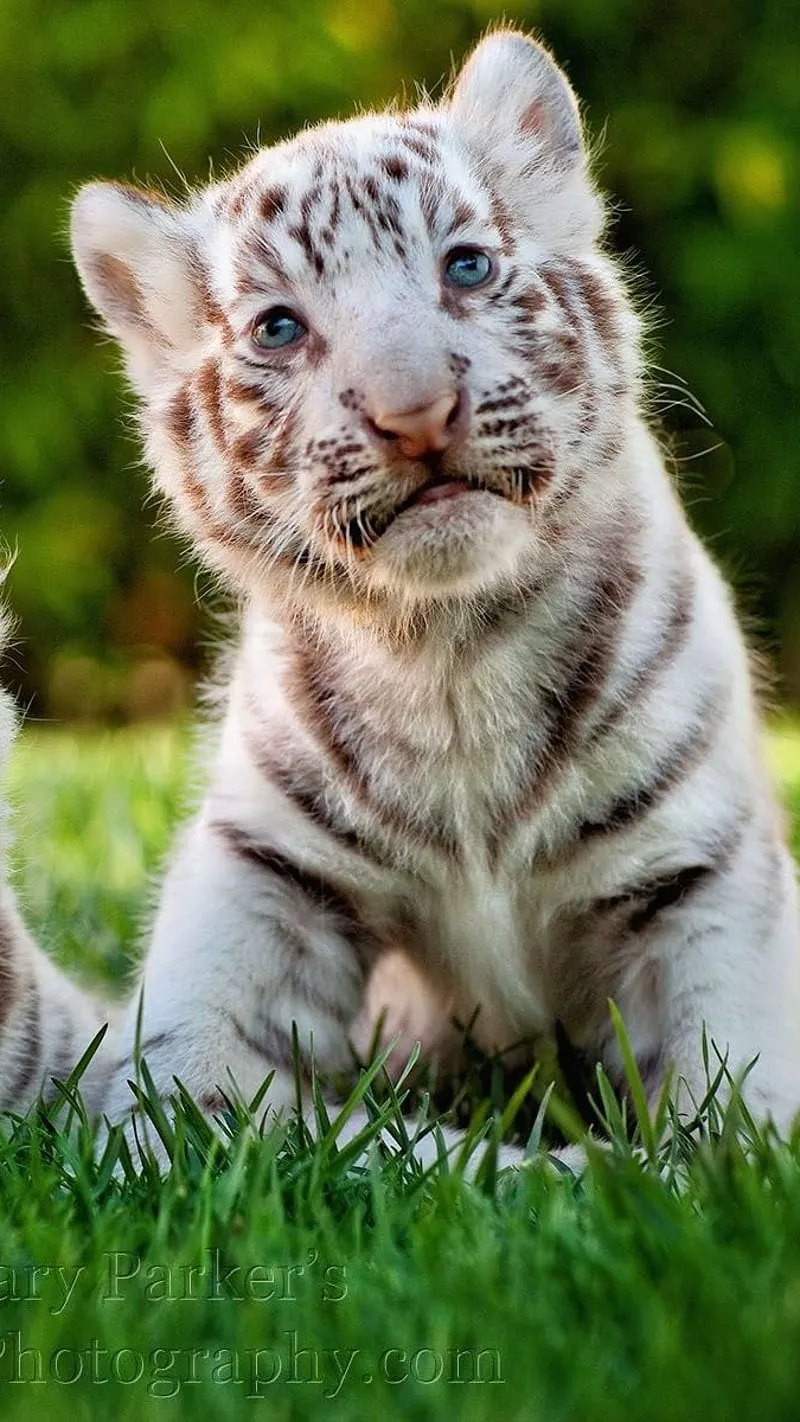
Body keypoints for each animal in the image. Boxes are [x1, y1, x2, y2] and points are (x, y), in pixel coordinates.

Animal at [3, 28, 799, 1163]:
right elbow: (254, 1120)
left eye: (464, 266)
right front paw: (522, 1168)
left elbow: (731, 1119)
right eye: (279, 329)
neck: (451, 651)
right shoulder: (261, 878)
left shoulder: (697, 870)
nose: (415, 413)